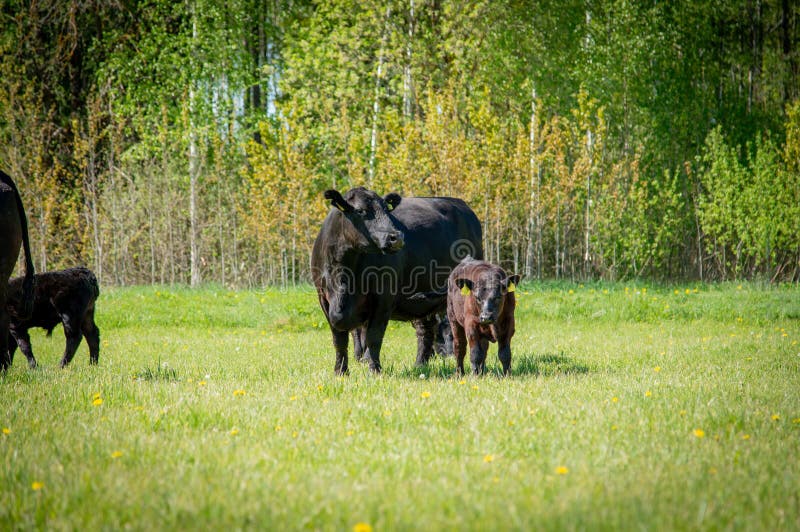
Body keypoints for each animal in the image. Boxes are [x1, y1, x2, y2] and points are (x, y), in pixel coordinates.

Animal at [311, 187, 482, 375]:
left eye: (387, 210)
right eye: (360, 211)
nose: (396, 237)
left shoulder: (383, 298)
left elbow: (373, 337)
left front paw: (374, 370)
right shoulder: (324, 298)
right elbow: (339, 338)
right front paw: (341, 371)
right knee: (425, 330)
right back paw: (419, 365)